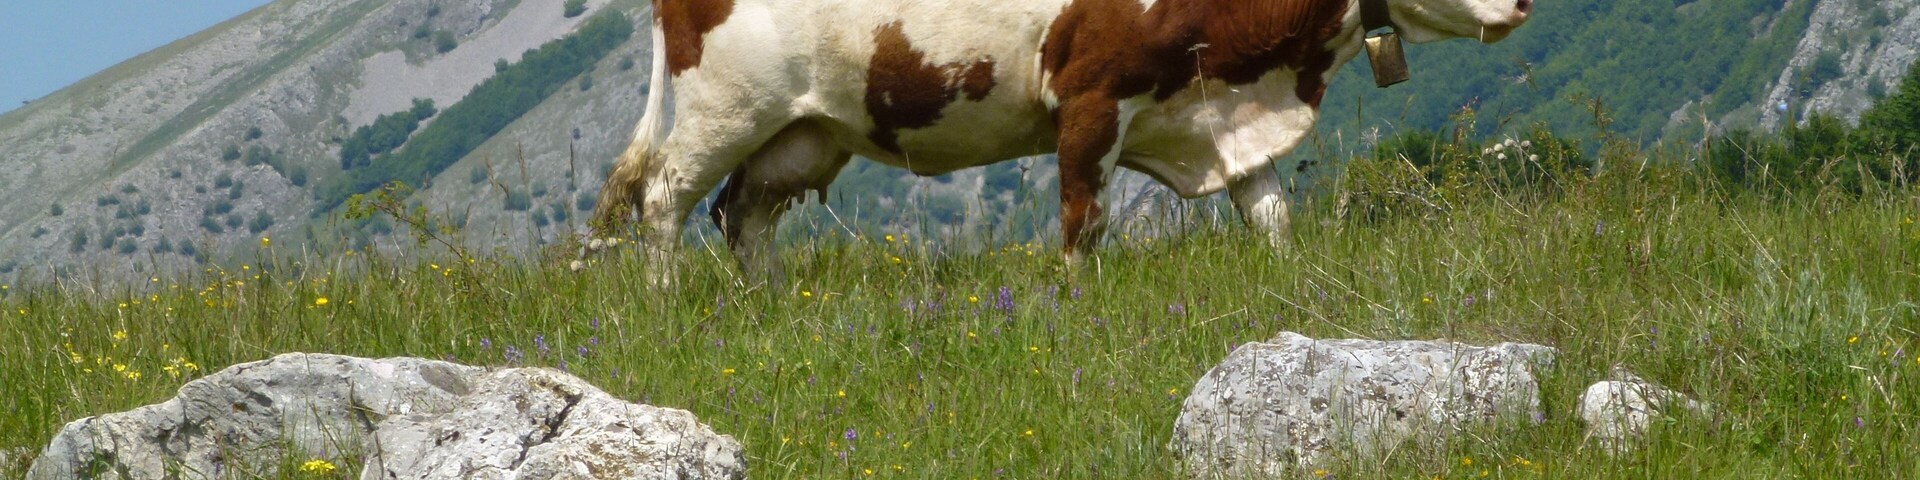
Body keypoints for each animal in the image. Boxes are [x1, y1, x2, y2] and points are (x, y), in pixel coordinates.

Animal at [584, 0, 1533, 282]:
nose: (1526, 1)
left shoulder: (1217, 118)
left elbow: (1268, 212)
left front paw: (1290, 283)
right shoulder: (1091, 99)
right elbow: (1083, 219)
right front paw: (1077, 302)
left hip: (805, 131)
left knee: (742, 214)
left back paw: (767, 304)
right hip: (726, 108)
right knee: (663, 198)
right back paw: (666, 302)